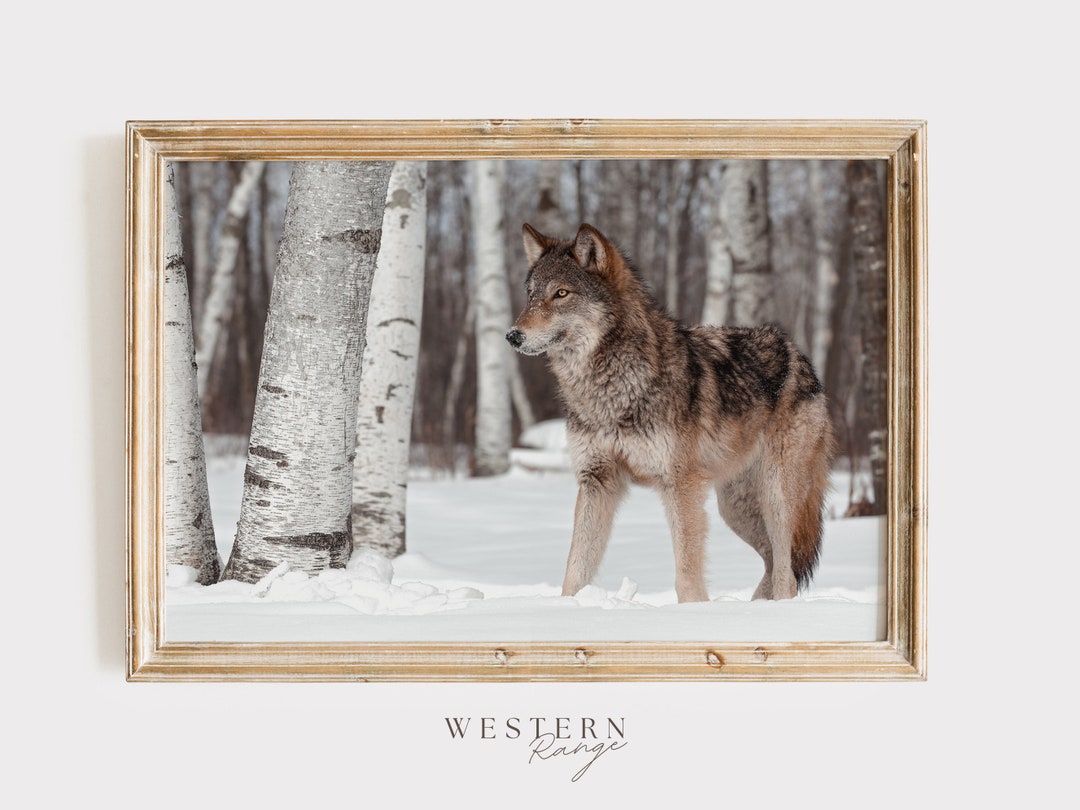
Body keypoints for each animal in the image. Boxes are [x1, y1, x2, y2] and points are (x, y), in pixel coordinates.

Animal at [505, 223, 836, 602]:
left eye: (561, 293)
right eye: (531, 295)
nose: (512, 335)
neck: (611, 389)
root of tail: (799, 355)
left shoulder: (681, 485)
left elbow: (687, 574)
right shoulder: (597, 480)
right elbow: (576, 568)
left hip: (776, 498)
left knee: (786, 572)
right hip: (735, 509)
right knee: (772, 563)